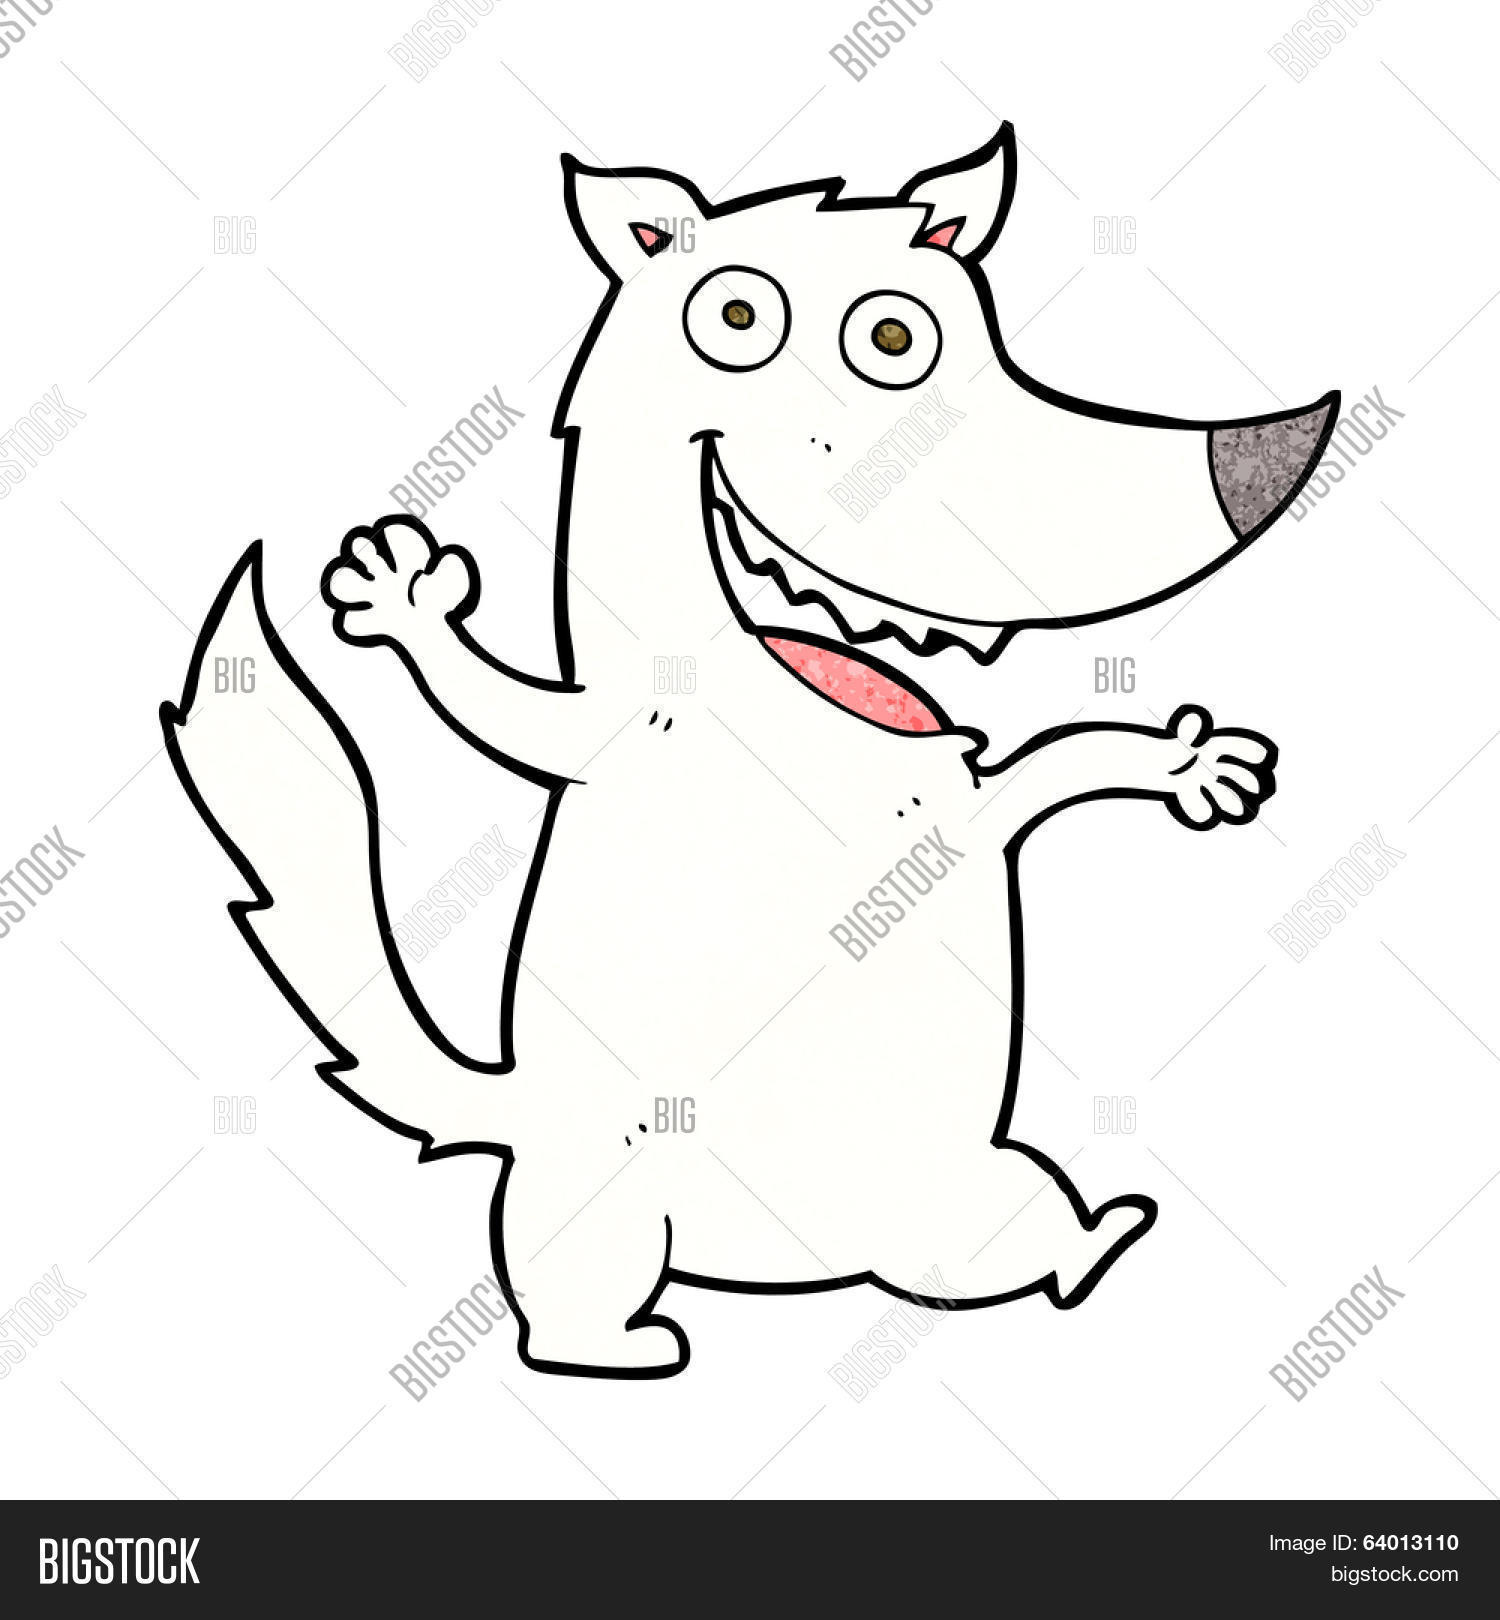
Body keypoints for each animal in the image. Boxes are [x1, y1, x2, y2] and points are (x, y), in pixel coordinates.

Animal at [165, 124, 1336, 1378]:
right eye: (739, 318)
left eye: (896, 331)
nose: (1256, 468)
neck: (789, 709)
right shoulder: (601, 727)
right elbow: (501, 715)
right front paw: (401, 599)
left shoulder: (977, 811)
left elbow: (1056, 765)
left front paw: (1189, 767)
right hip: (605, 1194)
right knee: (567, 1288)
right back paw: (619, 1349)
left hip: (977, 1189)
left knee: (1004, 1246)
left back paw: (1095, 1244)